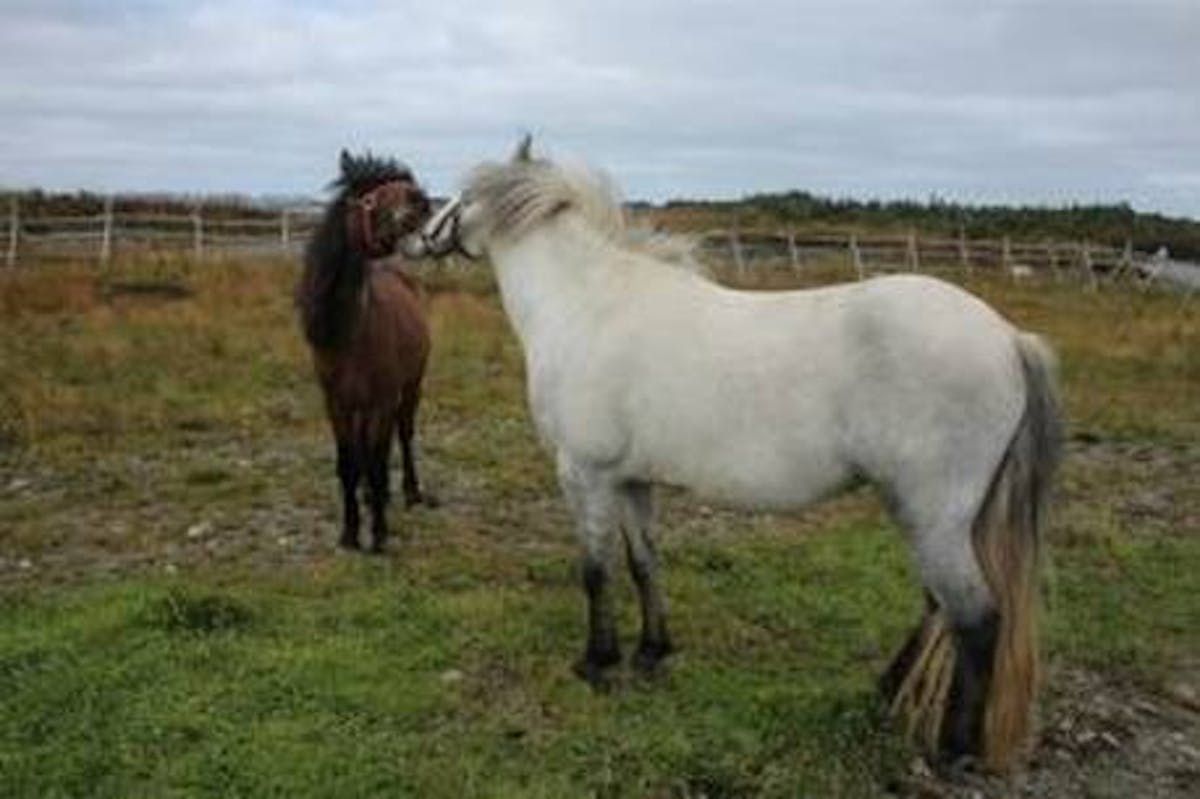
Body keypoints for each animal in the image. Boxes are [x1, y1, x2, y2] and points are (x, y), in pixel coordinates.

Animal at [296, 150, 436, 554]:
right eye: (369, 195)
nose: (422, 201)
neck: (350, 334)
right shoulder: (336, 404)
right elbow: (348, 463)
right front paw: (349, 532)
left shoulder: (382, 402)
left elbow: (375, 463)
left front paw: (379, 535)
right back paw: (372, 497)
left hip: (411, 386)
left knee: (403, 435)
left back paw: (408, 492)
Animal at [415, 136, 1062, 772]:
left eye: (463, 194)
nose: (418, 234)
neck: (588, 304)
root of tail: (1009, 339)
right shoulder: (631, 480)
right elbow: (643, 562)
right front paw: (651, 652)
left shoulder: (584, 474)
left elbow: (595, 571)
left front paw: (598, 663)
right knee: (939, 608)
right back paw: (885, 693)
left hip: (933, 515)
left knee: (975, 619)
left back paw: (953, 749)